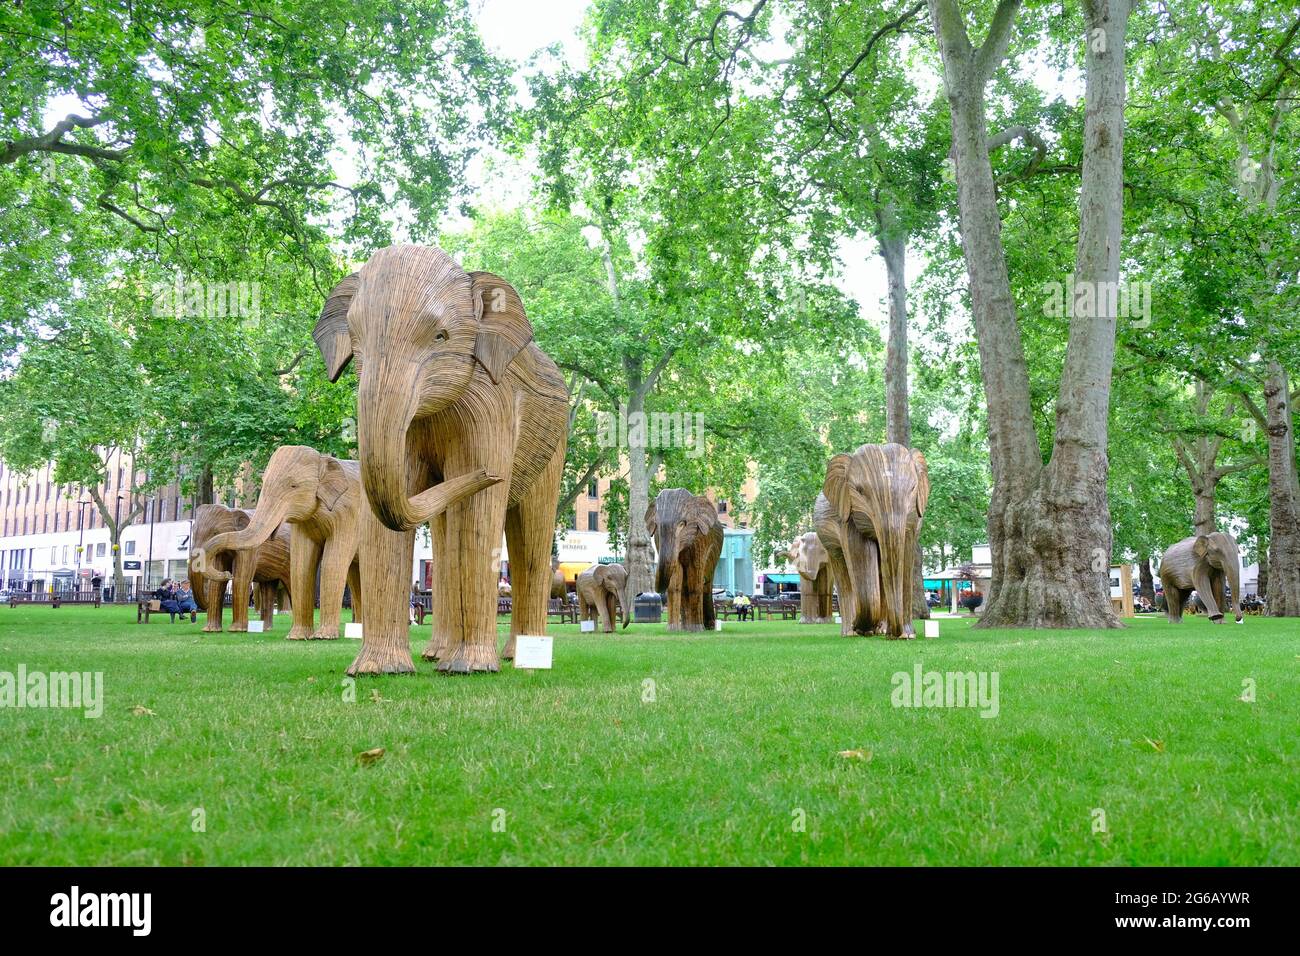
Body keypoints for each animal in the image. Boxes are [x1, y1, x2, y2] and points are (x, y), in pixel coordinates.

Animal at [189, 504, 292, 633]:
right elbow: (216, 585)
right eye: (193, 533)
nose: (228, 574)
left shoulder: (250, 548)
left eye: (215, 533)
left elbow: (241, 579)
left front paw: (236, 630)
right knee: (268, 588)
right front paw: (210, 630)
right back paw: (266, 628)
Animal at [313, 243, 569, 676]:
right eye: (356, 337)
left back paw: (519, 659)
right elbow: (383, 518)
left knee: (531, 533)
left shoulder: (489, 403)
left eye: (440, 336)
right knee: (450, 533)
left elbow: (479, 514)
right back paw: (439, 655)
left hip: (554, 443)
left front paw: (471, 669)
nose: (488, 474)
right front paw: (376, 670)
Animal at [645, 489, 724, 632]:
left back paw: (708, 627)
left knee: (706, 585)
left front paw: (697, 629)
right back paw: (685, 627)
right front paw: (672, 630)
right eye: (657, 525)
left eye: (682, 524)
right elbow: (675, 583)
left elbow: (695, 582)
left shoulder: (700, 539)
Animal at [814, 443, 930, 639]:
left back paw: (880, 630)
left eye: (913, 488)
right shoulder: (849, 518)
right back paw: (850, 632)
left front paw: (906, 636)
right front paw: (862, 629)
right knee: (842, 570)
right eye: (859, 491)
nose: (895, 635)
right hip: (827, 537)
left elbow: (905, 558)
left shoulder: (913, 518)